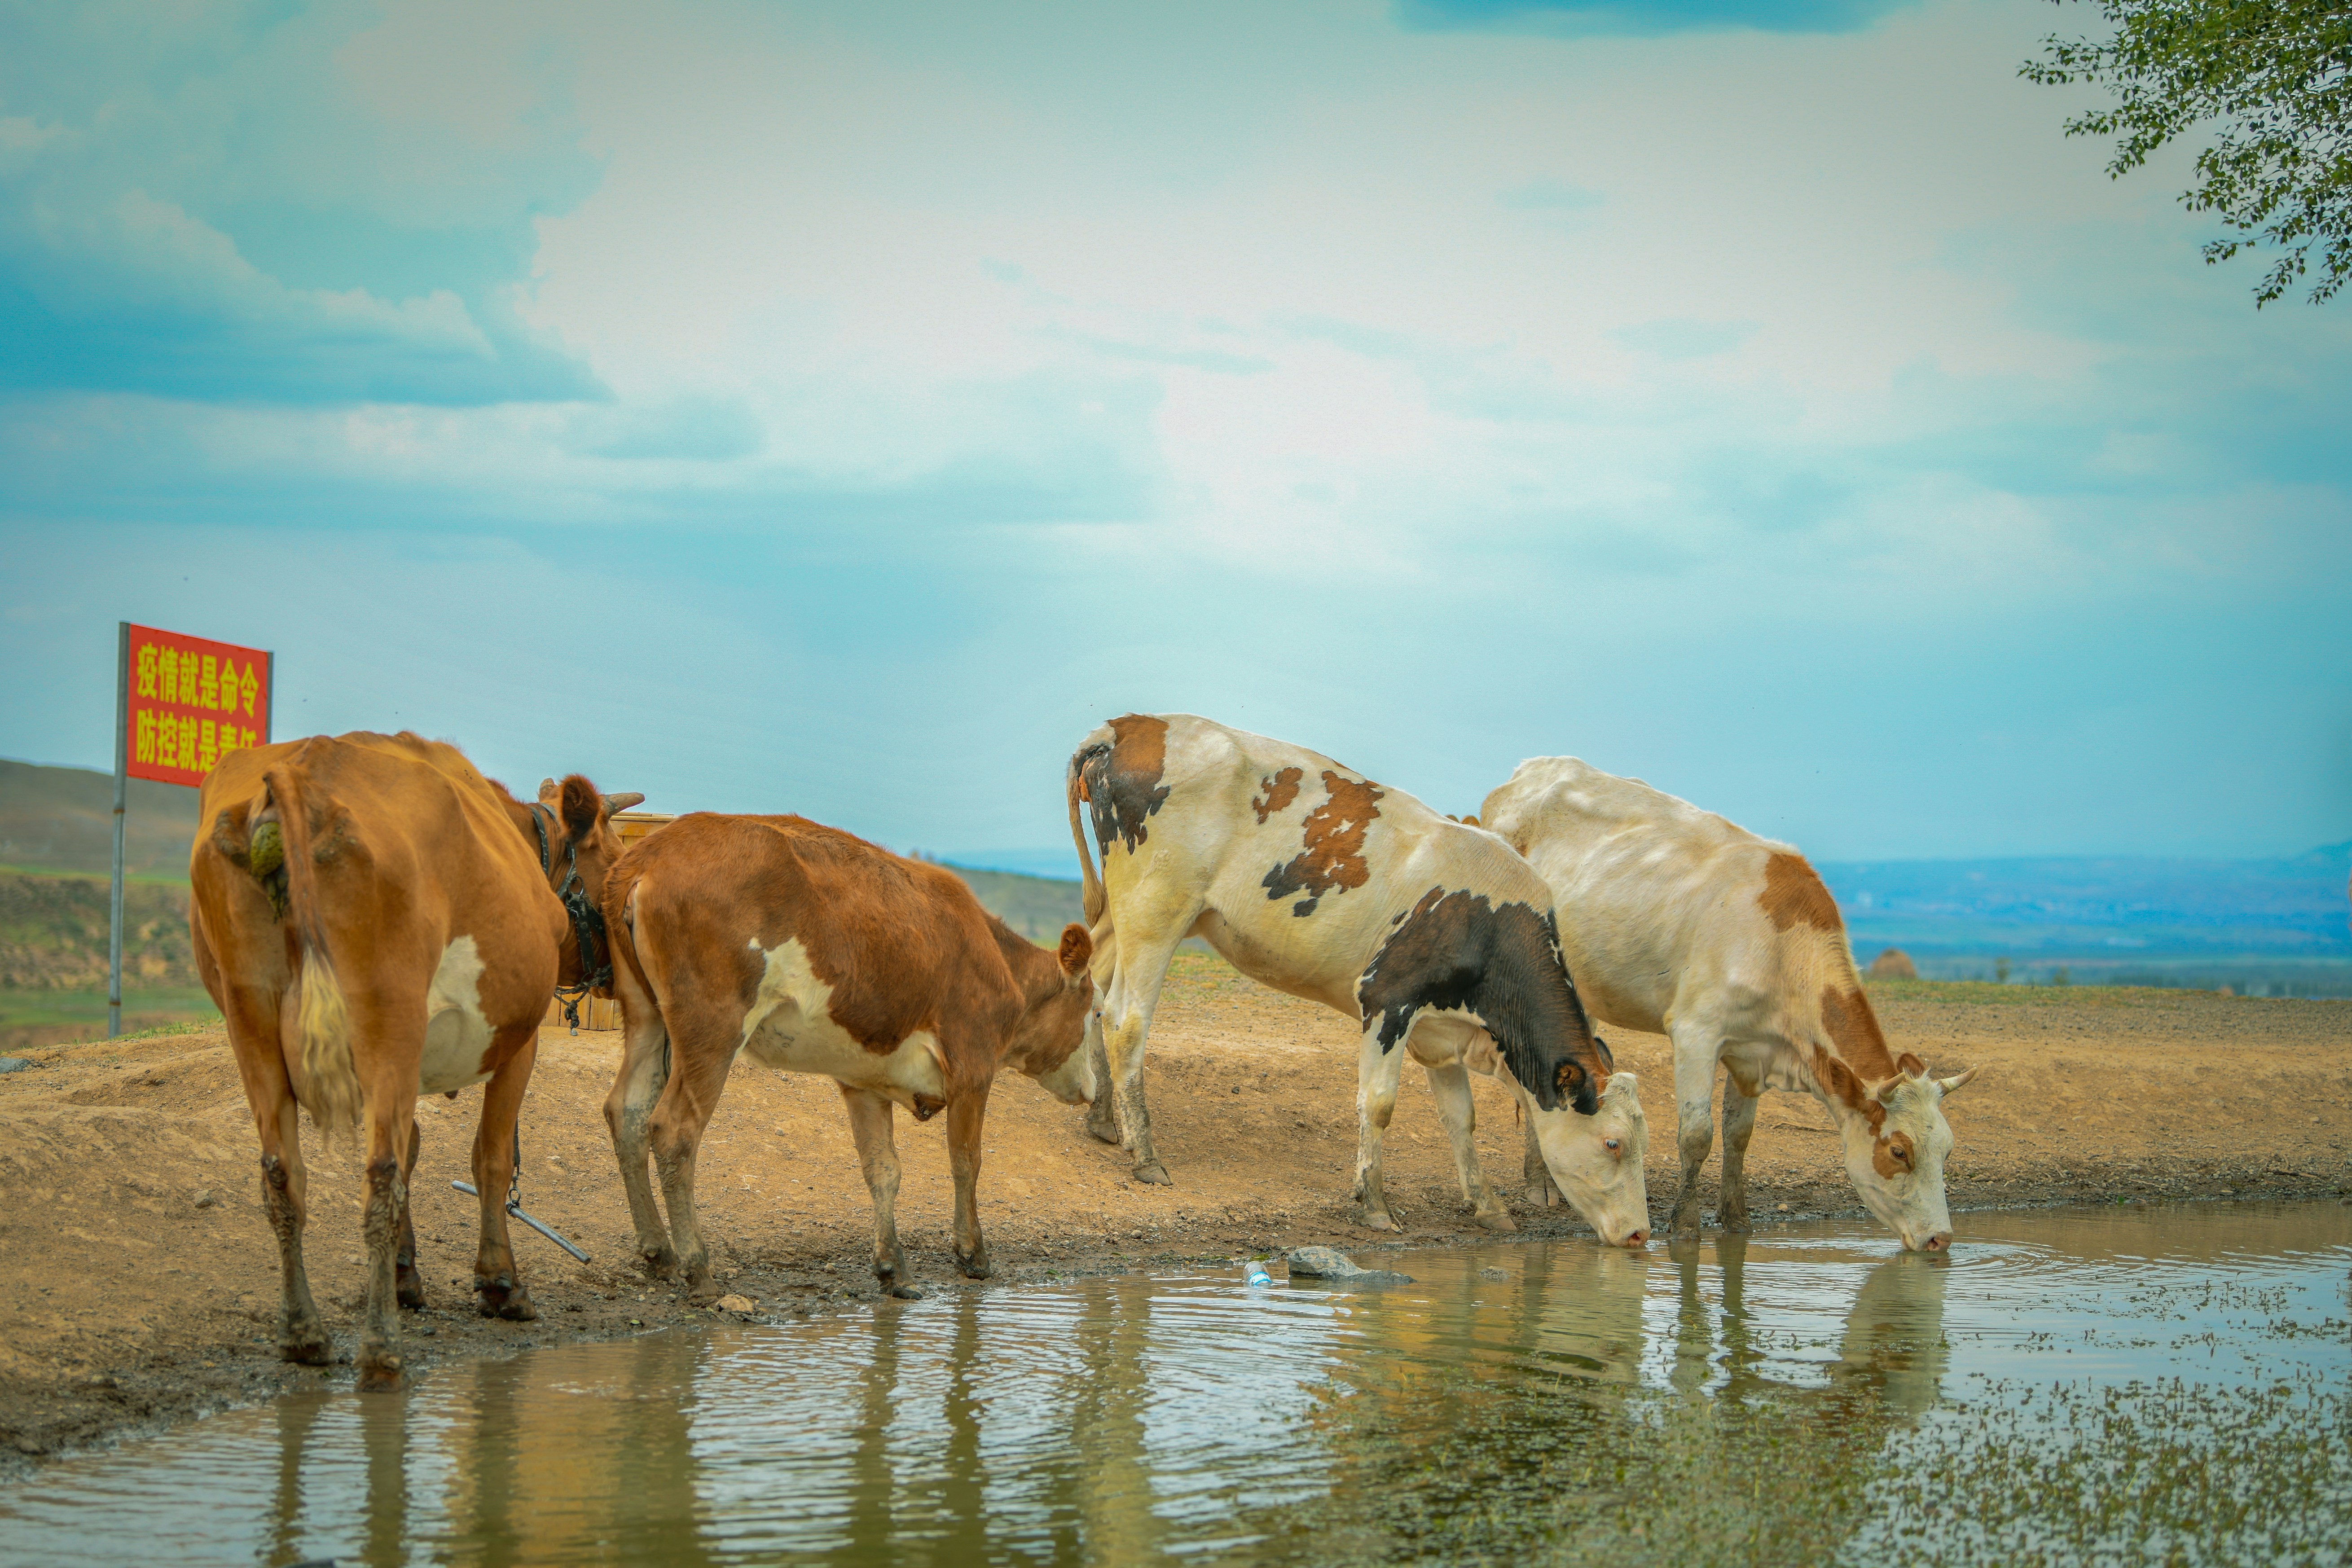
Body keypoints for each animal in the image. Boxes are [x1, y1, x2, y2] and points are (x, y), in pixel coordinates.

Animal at [190, 731, 639, 1389]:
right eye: (610, 857)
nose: (613, 961)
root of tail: (304, 766)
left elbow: (414, 1148)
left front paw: (406, 1276)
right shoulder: (519, 1042)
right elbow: (489, 1158)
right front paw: (499, 1283)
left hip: (252, 1019)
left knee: (283, 1174)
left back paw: (304, 1333)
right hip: (388, 1018)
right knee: (377, 1174)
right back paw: (381, 1349)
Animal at [598, 814, 1098, 1301]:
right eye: (1095, 1011)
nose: (1093, 1088)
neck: (996, 958)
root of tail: (651, 851)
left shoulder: (864, 1079)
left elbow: (883, 1168)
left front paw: (892, 1266)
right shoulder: (972, 1066)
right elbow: (966, 1161)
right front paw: (972, 1252)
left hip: (646, 1014)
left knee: (627, 1111)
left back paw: (659, 1251)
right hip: (712, 1026)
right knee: (675, 1130)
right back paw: (698, 1269)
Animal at [1067, 714, 1650, 1247]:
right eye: (1613, 1143)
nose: (1641, 1233)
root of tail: (1128, 725)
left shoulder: (1440, 1034)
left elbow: (1461, 1119)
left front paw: (1487, 1204)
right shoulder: (1389, 999)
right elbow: (1379, 1104)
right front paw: (1373, 1204)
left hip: (1122, 912)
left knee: (1092, 994)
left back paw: (1103, 1121)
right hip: (1156, 909)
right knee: (1126, 1019)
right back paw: (1145, 1154)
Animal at [1478, 757, 1978, 1252]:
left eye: (1947, 1149)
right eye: (1898, 1151)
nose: (1941, 1238)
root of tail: (1529, 771)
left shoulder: (1752, 1051)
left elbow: (1739, 1134)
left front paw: (1735, 1218)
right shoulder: (1696, 1031)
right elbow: (1696, 1135)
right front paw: (1685, 1224)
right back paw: (1541, 1184)